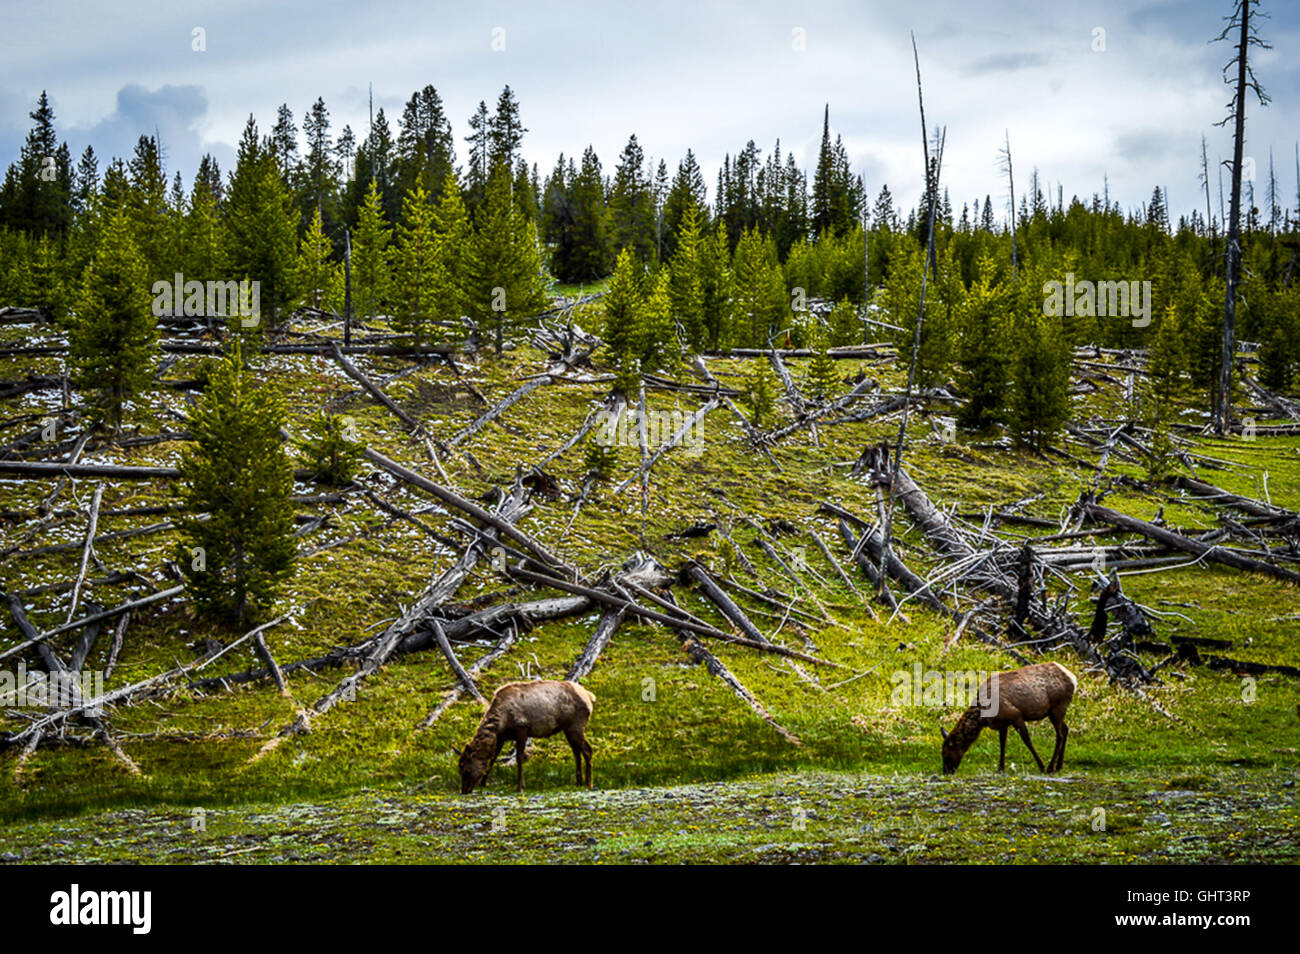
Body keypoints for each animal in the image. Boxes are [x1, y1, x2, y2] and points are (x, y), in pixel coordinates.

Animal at [456, 680, 595, 794]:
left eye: (465, 769)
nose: (464, 790)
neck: (501, 721)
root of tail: (589, 696)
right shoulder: (502, 737)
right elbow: (493, 758)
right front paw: (483, 783)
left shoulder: (522, 728)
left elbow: (519, 758)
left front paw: (520, 787)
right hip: (568, 729)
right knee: (577, 752)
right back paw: (578, 782)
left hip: (576, 726)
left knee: (587, 750)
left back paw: (589, 783)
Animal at [940, 661, 1076, 775]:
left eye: (946, 753)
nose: (945, 771)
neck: (983, 718)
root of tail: (1073, 679)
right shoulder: (1003, 723)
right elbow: (1002, 743)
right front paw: (1001, 768)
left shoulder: (1015, 715)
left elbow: (1027, 741)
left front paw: (1041, 766)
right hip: (1055, 712)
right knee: (1066, 729)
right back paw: (1059, 765)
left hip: (1057, 707)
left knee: (1060, 735)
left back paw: (1050, 767)